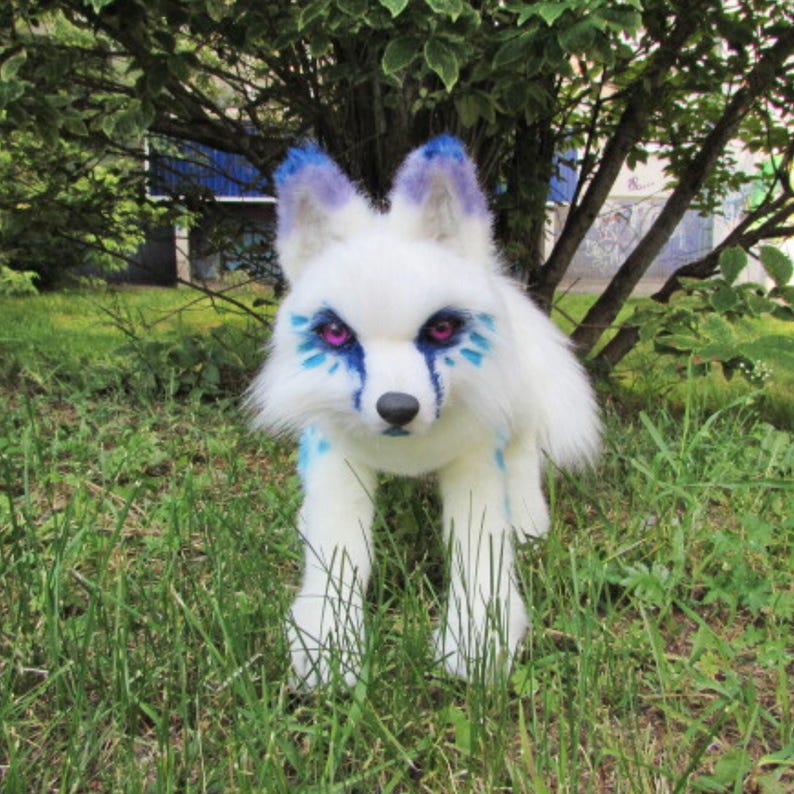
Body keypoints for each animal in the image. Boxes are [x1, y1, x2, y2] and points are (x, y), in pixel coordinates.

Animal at [247, 135, 600, 687]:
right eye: (336, 334)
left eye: (441, 329)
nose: (397, 409)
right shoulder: (335, 460)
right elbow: (337, 551)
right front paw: (328, 645)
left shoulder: (477, 462)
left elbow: (480, 552)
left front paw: (477, 642)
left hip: (520, 425)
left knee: (525, 466)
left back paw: (528, 524)